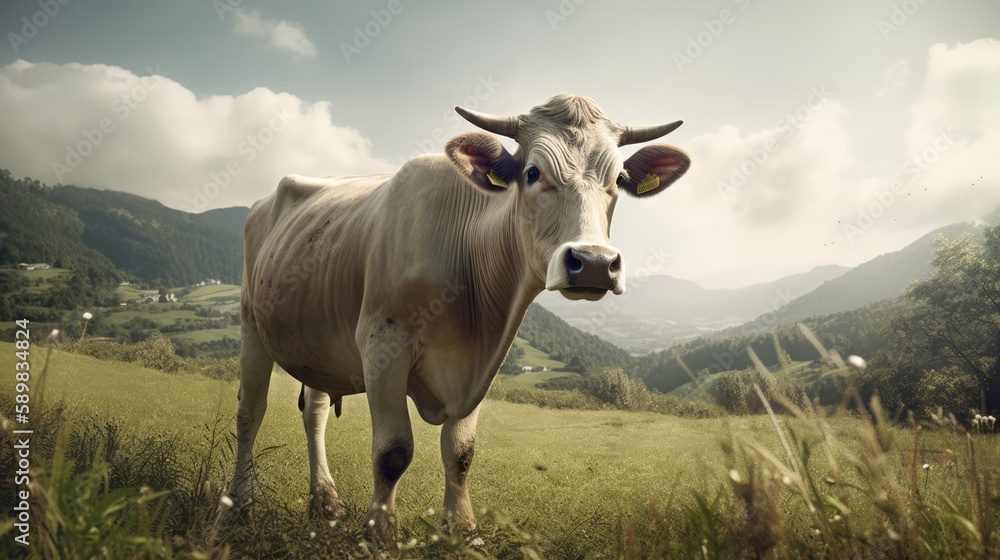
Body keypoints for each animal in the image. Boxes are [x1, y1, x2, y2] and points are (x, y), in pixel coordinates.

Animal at [227, 94, 690, 541]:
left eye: (618, 181)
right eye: (533, 173)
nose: (594, 263)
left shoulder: (481, 361)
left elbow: (462, 451)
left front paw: (464, 532)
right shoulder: (383, 342)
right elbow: (392, 451)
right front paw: (382, 534)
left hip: (316, 341)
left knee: (315, 412)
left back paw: (326, 503)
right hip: (251, 322)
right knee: (251, 412)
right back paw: (239, 505)